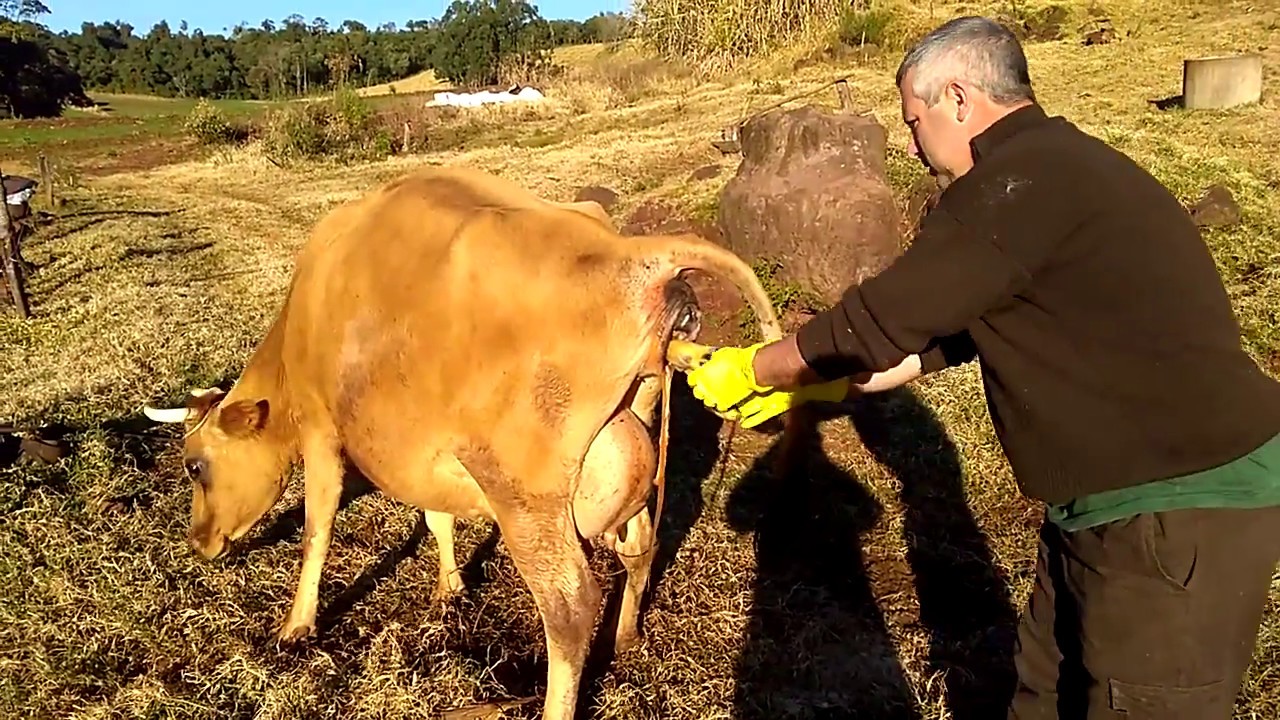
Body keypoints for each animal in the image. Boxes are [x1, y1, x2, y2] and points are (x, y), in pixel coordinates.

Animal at [142, 164, 784, 720]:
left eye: (195, 466)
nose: (199, 543)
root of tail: (634, 257)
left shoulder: (321, 425)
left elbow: (317, 527)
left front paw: (297, 626)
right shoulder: (423, 444)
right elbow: (437, 516)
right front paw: (449, 588)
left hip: (524, 492)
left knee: (571, 608)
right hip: (630, 438)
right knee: (640, 544)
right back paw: (625, 636)